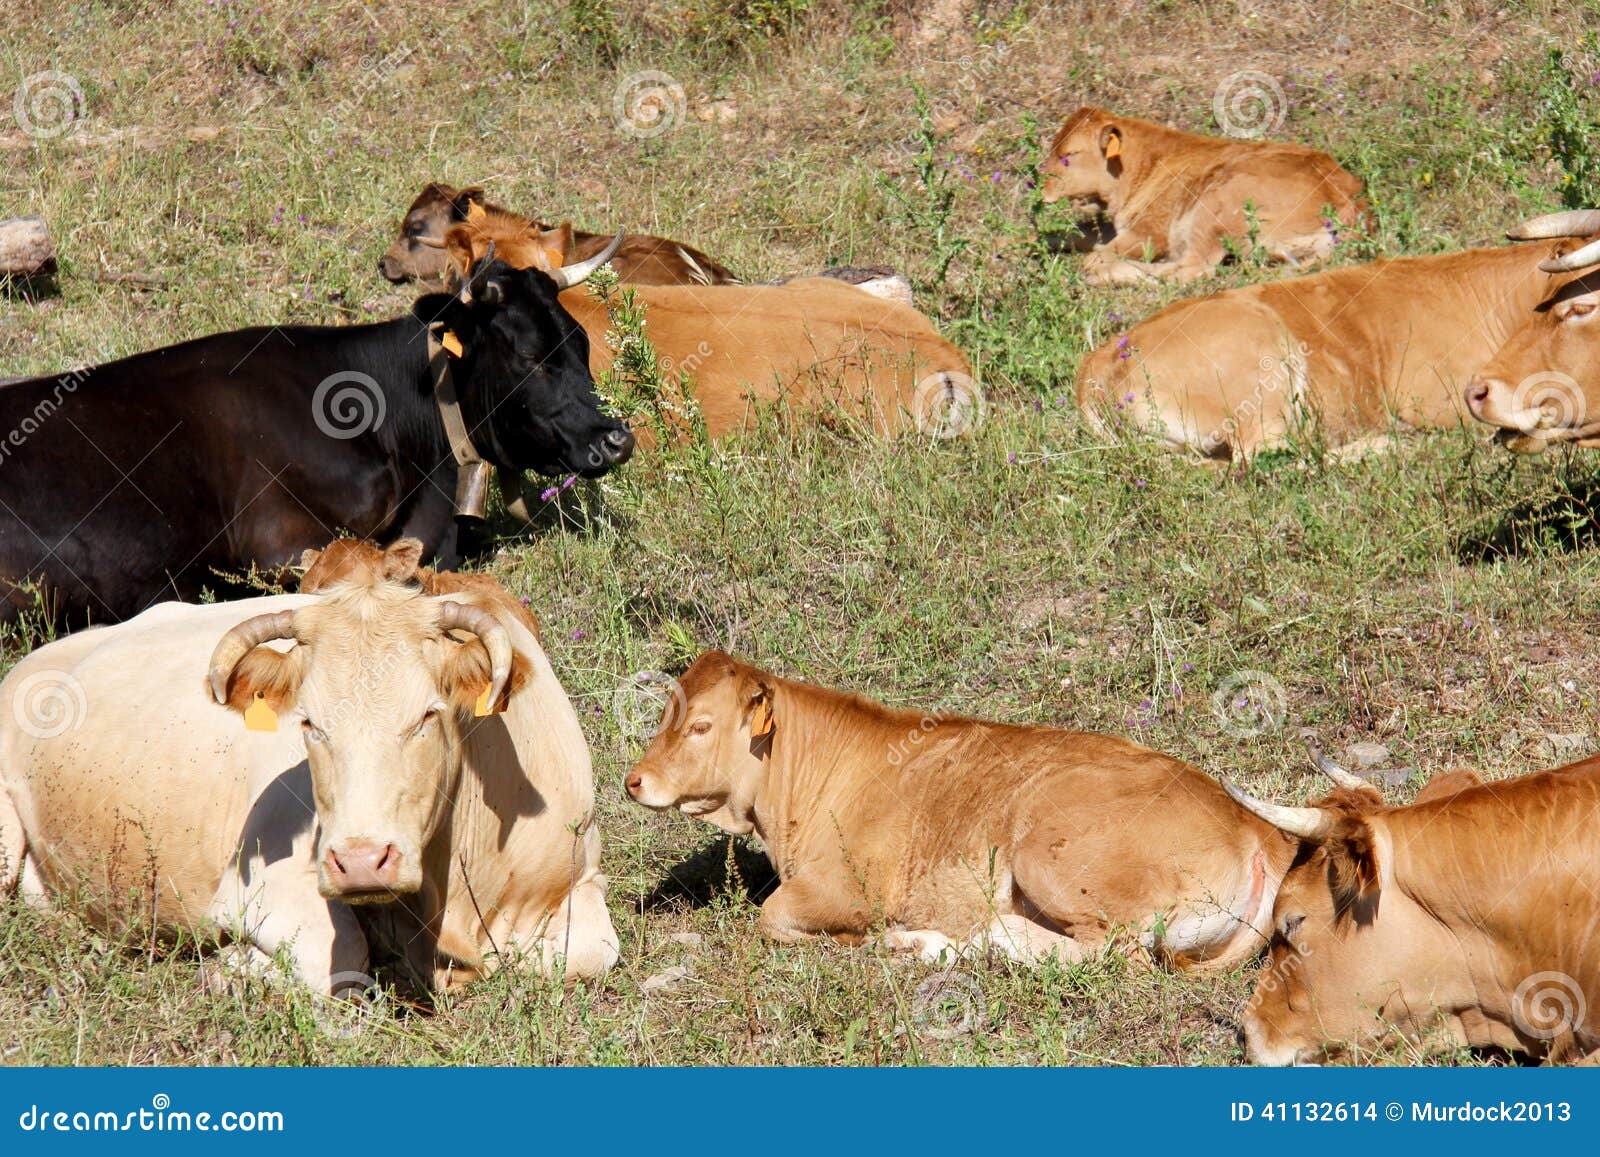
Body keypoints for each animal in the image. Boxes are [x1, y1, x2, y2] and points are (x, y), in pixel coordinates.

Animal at [0, 577, 618, 994]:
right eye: (310, 723)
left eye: (427, 715)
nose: (363, 861)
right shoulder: (257, 888)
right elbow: (340, 958)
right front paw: (229, 965)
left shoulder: (582, 876)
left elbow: (592, 950)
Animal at [624, 651, 1294, 968]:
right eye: (666, 714)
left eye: (702, 725)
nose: (634, 781)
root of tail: (1253, 826)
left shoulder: (846, 888)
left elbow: (772, 915)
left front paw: (857, 940)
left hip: (1051, 855)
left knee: (1109, 952)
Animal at [1037, 107, 1367, 285]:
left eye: (1069, 155)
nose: (1041, 186)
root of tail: (1349, 203)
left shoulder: (1149, 233)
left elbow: (1093, 257)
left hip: (1215, 203)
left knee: (1192, 268)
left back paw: (1107, 275)